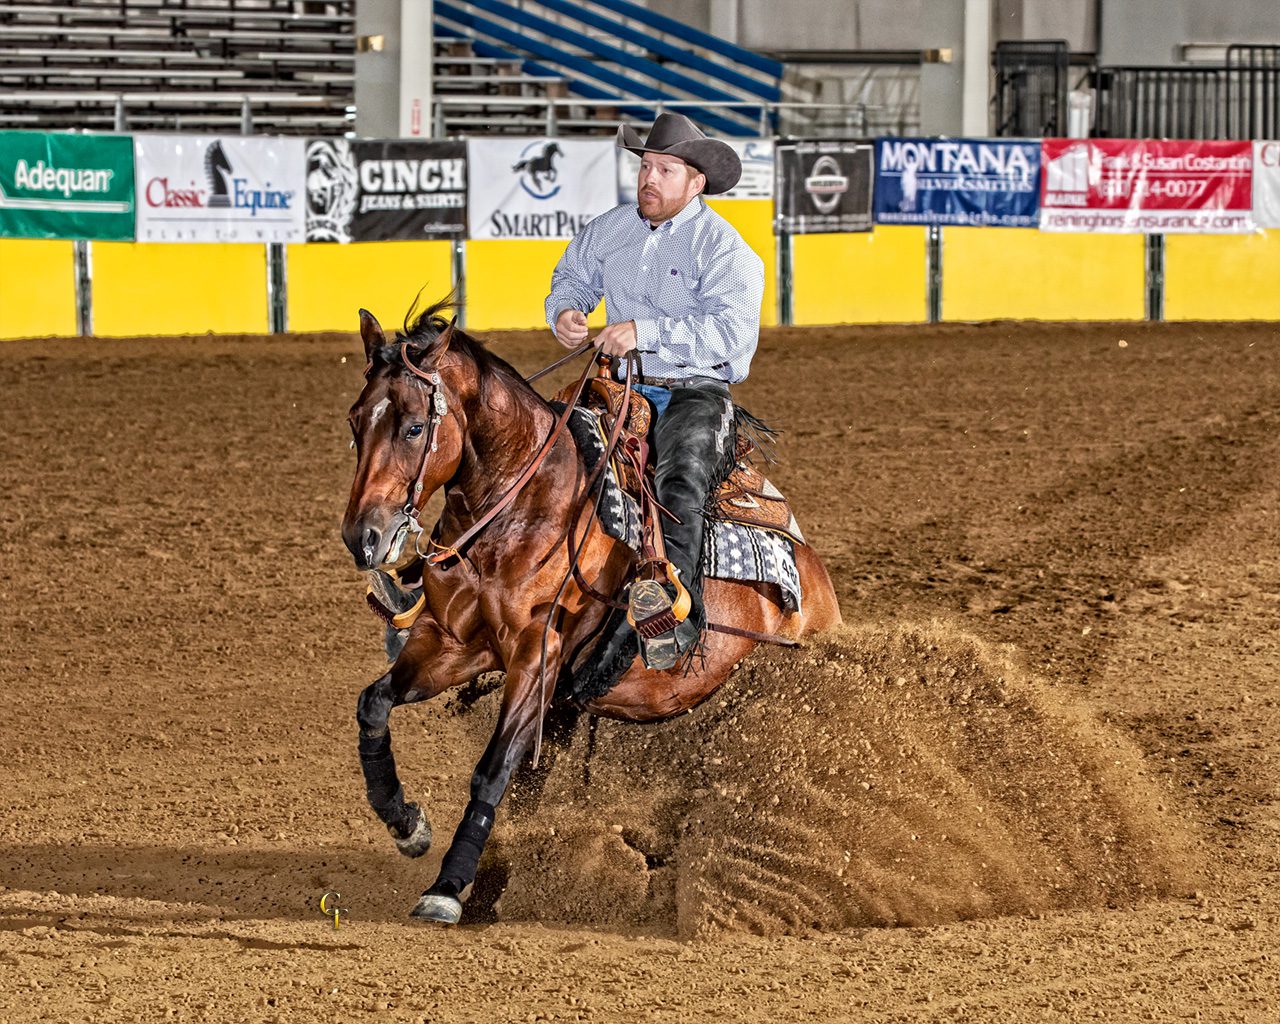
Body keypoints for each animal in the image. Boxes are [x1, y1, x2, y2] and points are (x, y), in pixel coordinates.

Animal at [342, 299, 842, 924]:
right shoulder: (454, 643)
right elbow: (373, 704)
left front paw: (447, 887)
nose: (362, 537)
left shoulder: (539, 654)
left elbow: (492, 769)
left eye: (413, 427)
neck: (524, 510)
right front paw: (406, 822)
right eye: (355, 422)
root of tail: (818, 582)